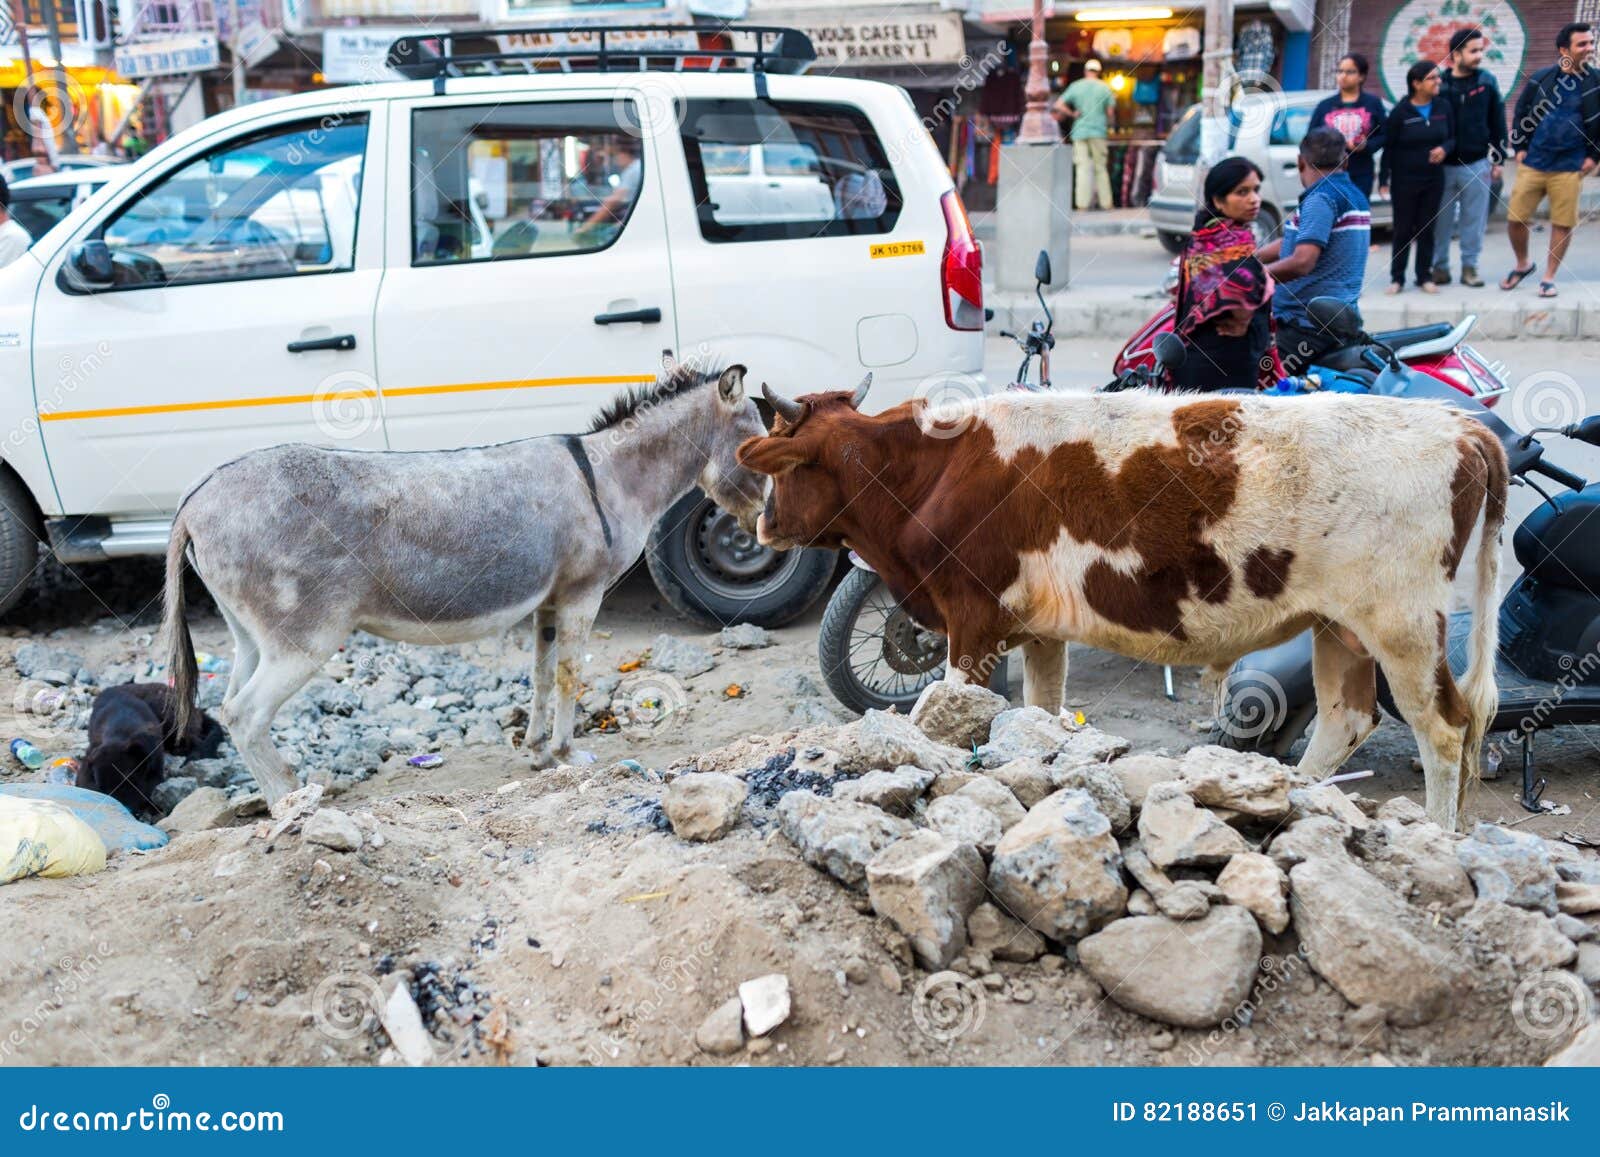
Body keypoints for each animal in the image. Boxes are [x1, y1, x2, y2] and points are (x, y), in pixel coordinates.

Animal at [737, 380, 1507, 832]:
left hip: (1403, 627)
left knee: (1444, 730)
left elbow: (952, 716)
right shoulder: (1037, 629)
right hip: (1339, 626)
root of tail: (1459, 425)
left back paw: (1438, 832)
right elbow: (1039, 713)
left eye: (786, 467)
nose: (762, 525)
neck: (931, 469)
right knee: (1347, 717)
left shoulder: (972, 620)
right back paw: (1300, 793)